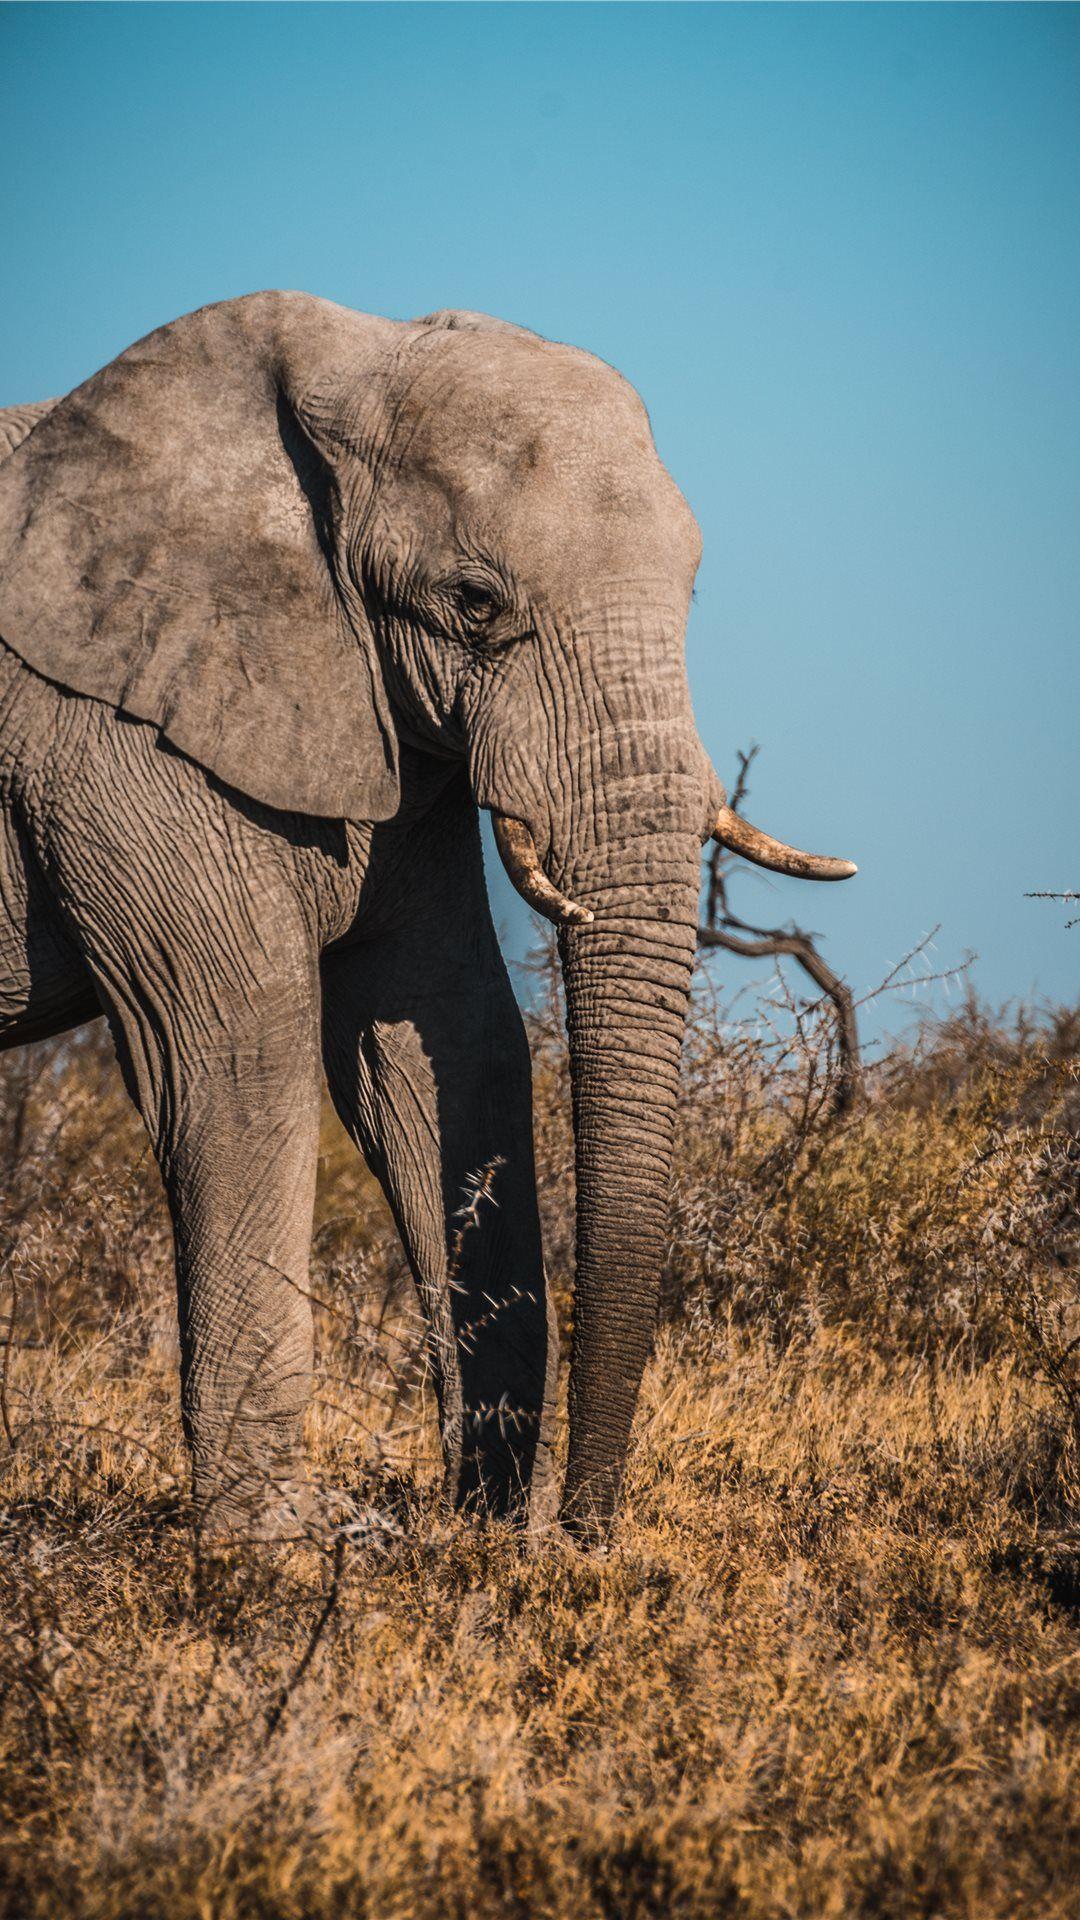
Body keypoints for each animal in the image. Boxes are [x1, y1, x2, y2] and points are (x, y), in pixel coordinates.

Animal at [0, 294, 854, 1545]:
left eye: (693, 591)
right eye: (475, 604)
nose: (581, 1535)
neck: (346, 360)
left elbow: (443, 1033)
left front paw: (476, 1534)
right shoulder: (116, 738)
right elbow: (234, 1056)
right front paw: (267, 1554)